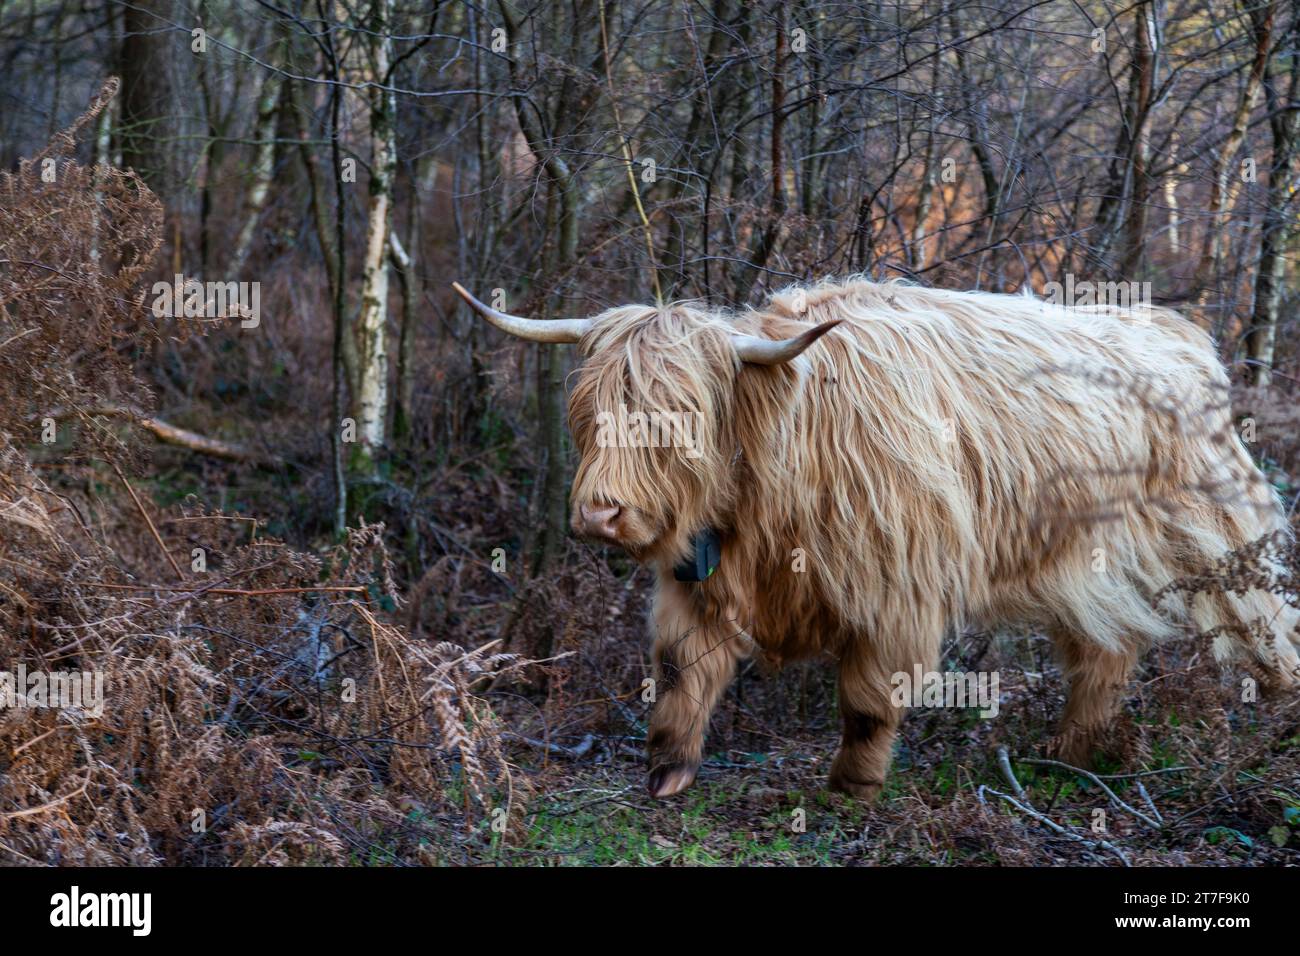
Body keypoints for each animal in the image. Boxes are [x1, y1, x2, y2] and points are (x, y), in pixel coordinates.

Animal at [452, 276, 1300, 800]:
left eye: (676, 414)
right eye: (589, 411)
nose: (599, 515)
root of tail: (1178, 337)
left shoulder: (896, 586)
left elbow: (868, 698)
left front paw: (851, 789)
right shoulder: (699, 579)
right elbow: (680, 673)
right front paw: (668, 771)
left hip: (1218, 542)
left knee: (1264, 625)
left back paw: (1277, 715)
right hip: (1084, 562)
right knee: (1105, 649)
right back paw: (1069, 753)